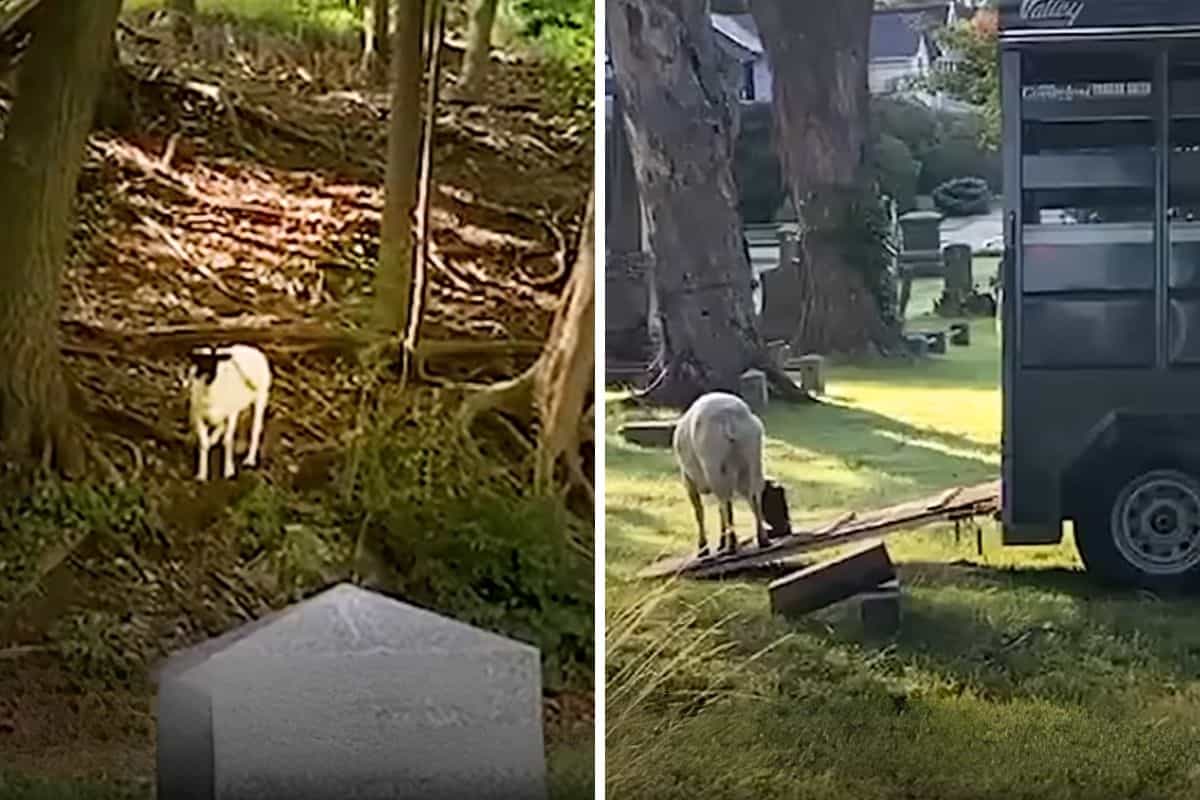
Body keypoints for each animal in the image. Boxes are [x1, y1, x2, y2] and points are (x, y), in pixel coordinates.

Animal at [187, 343, 271, 482]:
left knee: (255, 428)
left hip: (261, 396)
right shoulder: (198, 414)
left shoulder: (232, 413)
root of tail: (251, 347)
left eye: (215, 360)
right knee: (225, 424)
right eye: (198, 360)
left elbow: (227, 440)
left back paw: (249, 460)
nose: (204, 375)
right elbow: (204, 443)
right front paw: (202, 474)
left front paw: (229, 471)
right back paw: (216, 439)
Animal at [672, 391, 770, 558]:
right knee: (753, 496)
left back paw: (731, 546)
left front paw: (703, 548)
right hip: (752, 458)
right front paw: (719, 543)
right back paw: (762, 539)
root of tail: (729, 416)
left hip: (714, 463)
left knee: (725, 501)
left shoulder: (687, 479)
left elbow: (699, 512)